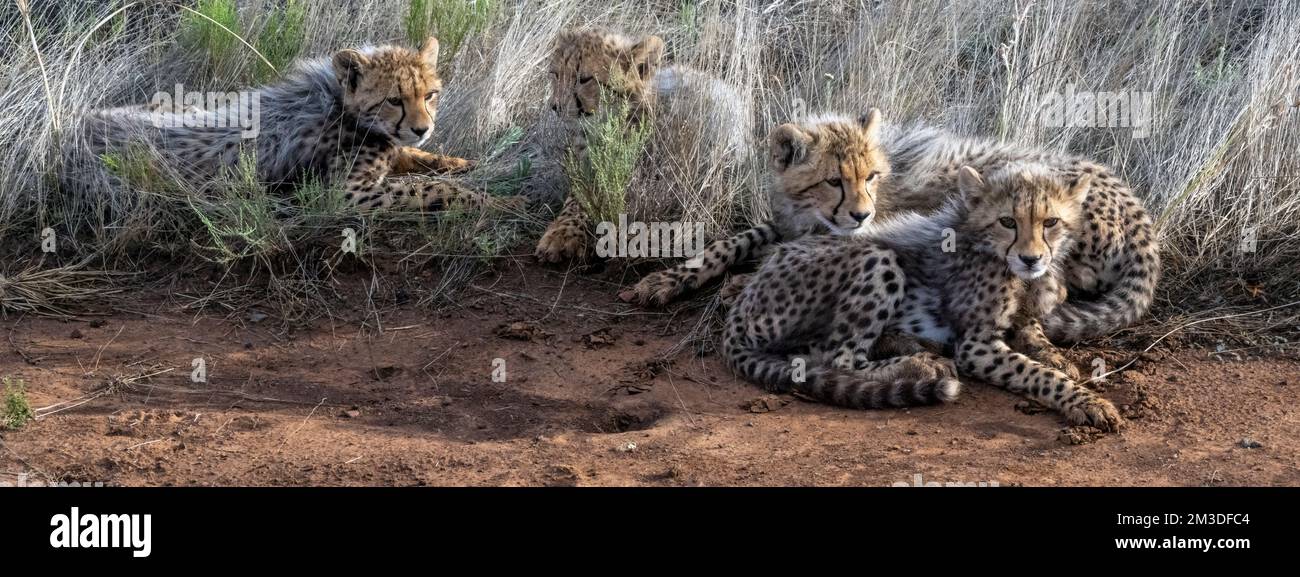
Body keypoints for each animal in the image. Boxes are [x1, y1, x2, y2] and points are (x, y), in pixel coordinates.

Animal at [80, 37, 490, 213]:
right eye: (394, 100)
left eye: (430, 95)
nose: (423, 128)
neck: (338, 103)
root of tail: (81, 123)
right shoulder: (345, 192)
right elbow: (430, 188)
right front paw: (490, 200)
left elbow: (415, 157)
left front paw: (460, 161)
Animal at [723, 161, 1125, 431]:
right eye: (1008, 222)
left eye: (1050, 222)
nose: (1031, 258)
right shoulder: (976, 347)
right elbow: (1036, 374)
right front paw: (1085, 400)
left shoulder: (1025, 312)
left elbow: (1034, 333)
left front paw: (1056, 356)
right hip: (877, 259)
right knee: (837, 357)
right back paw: (920, 363)